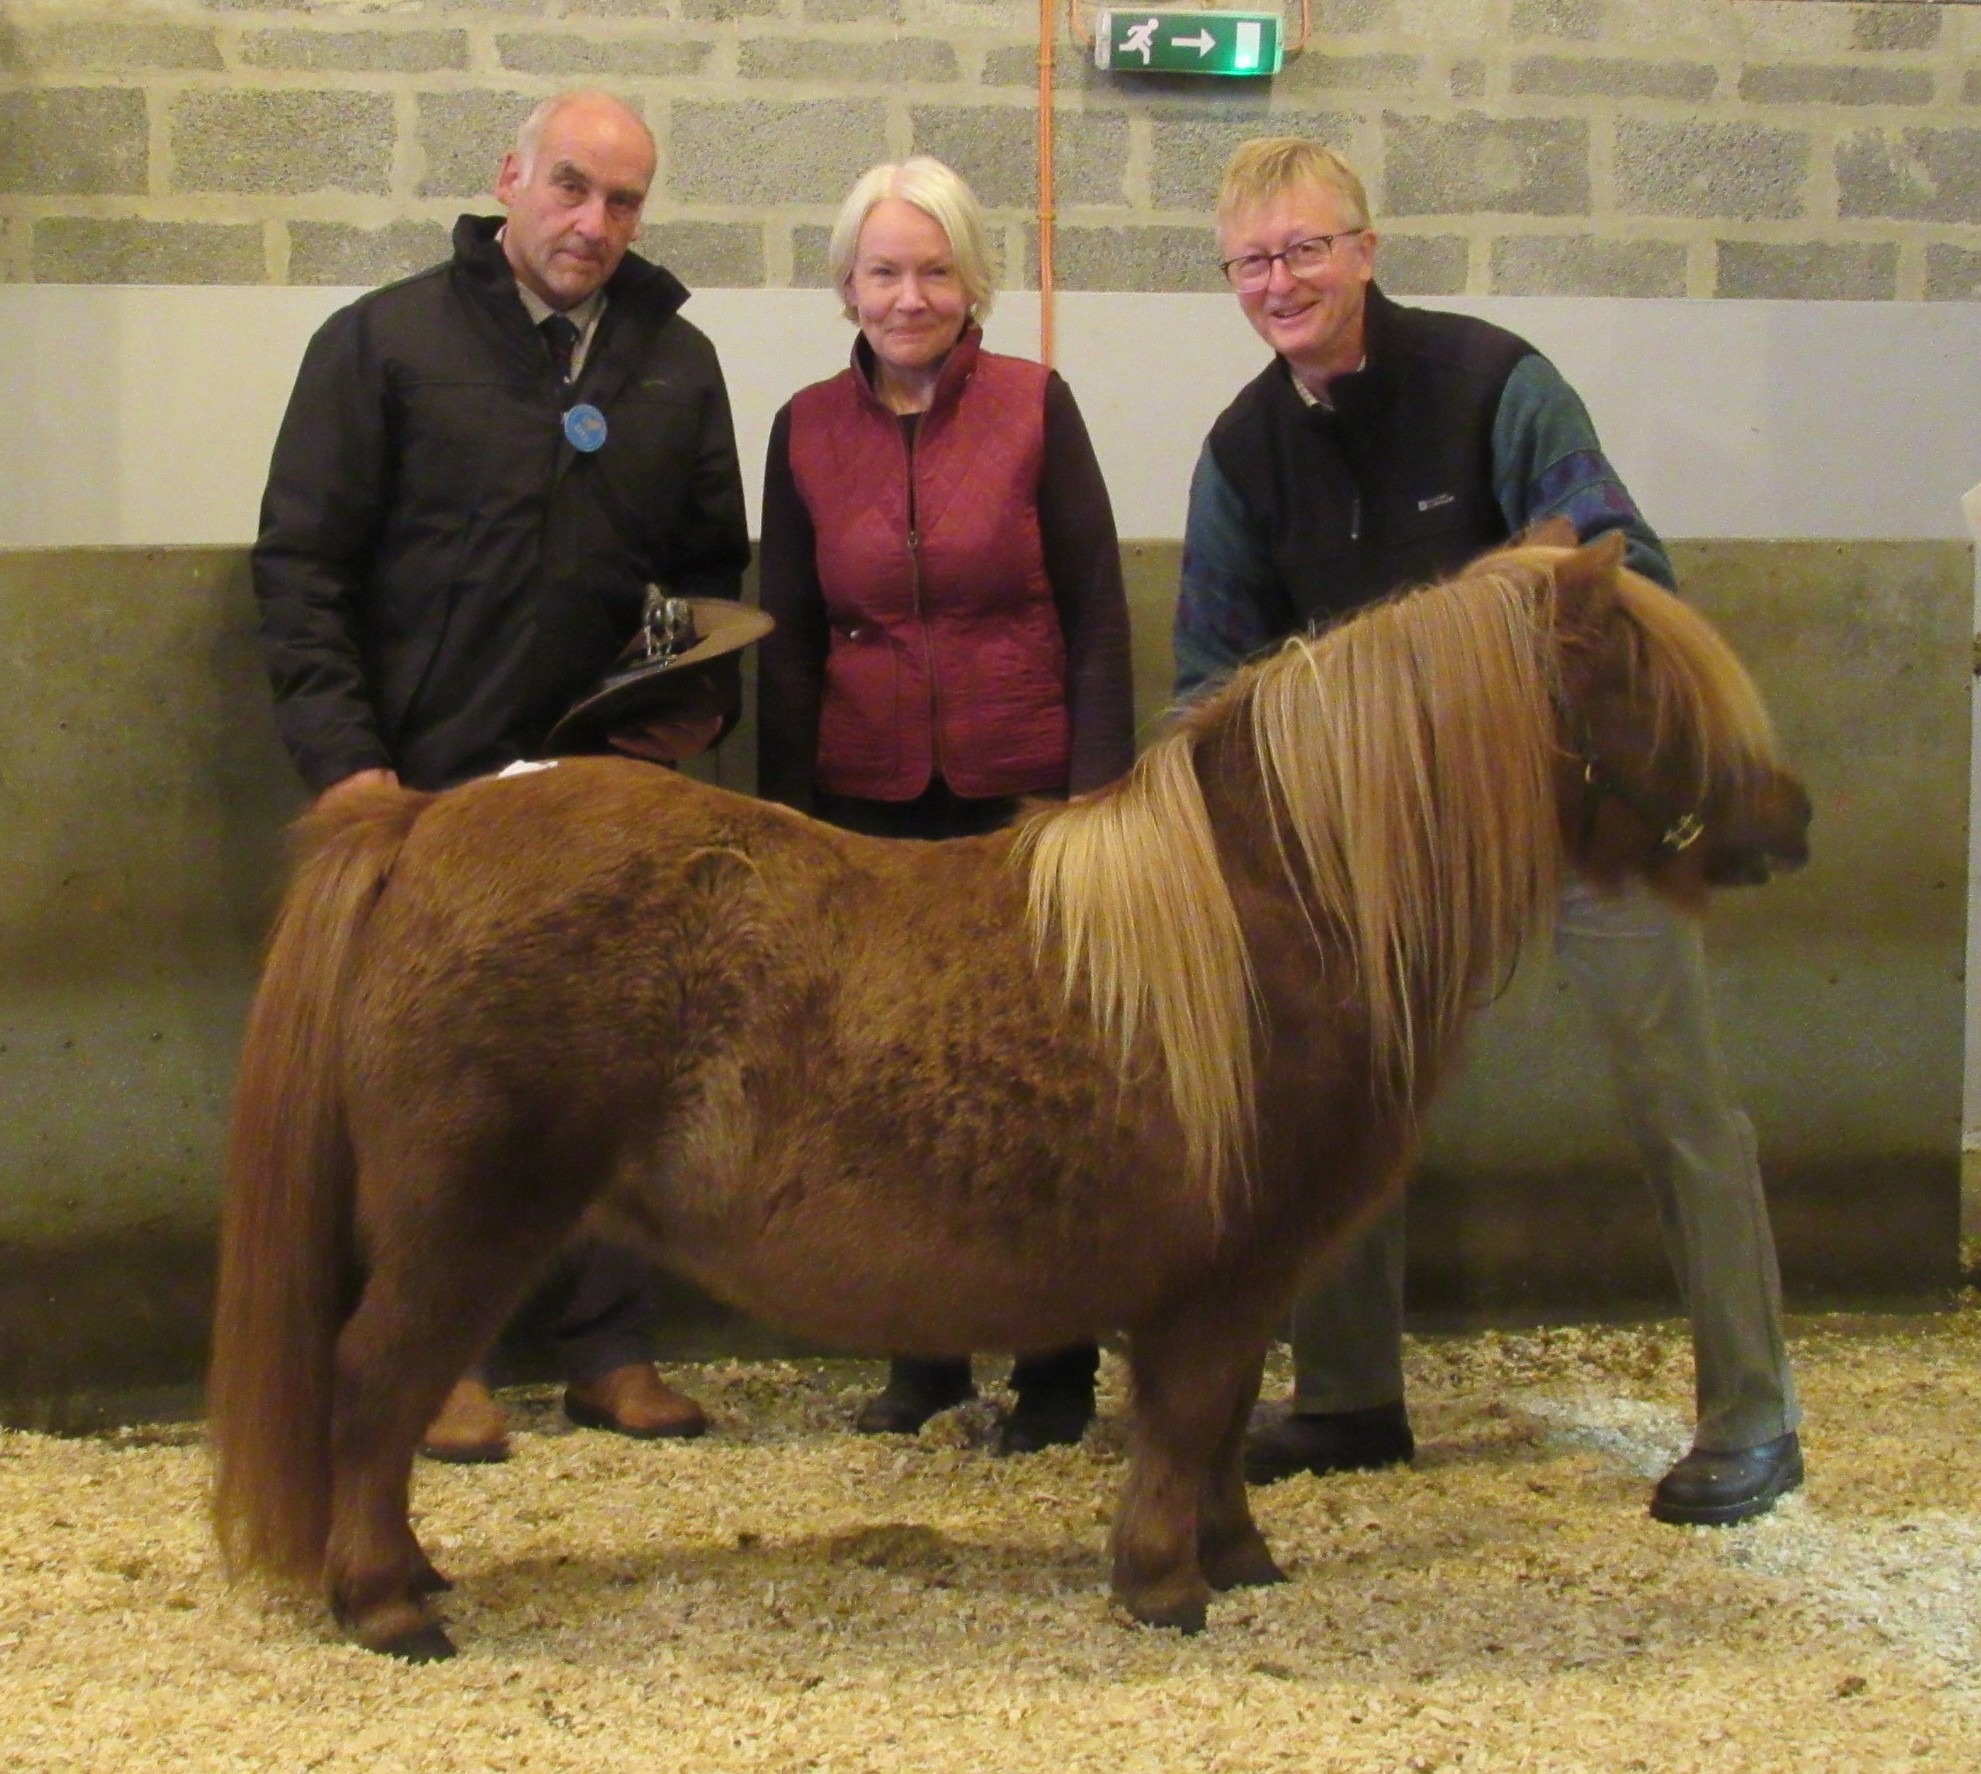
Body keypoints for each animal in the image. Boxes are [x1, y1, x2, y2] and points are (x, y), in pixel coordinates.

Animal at [207, 530, 1810, 1660]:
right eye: (1654, 686)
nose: (1788, 824)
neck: (1277, 907)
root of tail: (426, 817)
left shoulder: (1242, 1274)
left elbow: (1222, 1418)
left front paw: (1236, 1555)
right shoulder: (1222, 1272)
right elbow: (1188, 1413)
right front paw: (1165, 1584)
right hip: (467, 1226)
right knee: (376, 1386)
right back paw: (390, 1604)